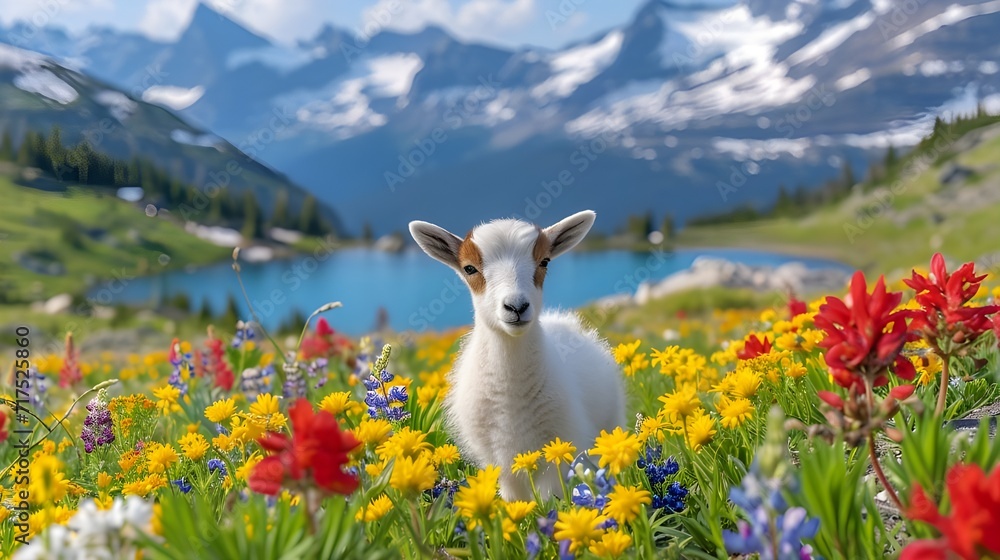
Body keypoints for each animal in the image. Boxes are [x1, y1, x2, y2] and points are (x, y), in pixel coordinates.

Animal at [409, 210, 625, 500]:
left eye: (545, 261)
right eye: (469, 268)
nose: (517, 306)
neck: (510, 395)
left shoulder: (559, 449)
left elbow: (551, 501)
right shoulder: (499, 459)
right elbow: (515, 503)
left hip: (610, 423)